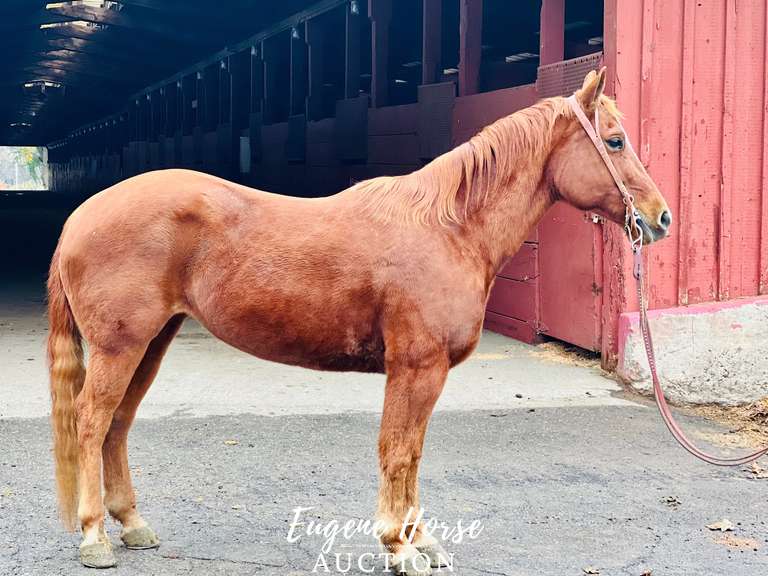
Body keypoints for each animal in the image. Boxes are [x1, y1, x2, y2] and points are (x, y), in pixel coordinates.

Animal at [47, 68, 671, 574]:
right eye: (614, 141)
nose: (660, 218)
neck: (448, 228)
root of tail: (81, 215)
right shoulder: (416, 368)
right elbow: (398, 451)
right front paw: (399, 547)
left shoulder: (423, 374)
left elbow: (411, 454)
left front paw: (421, 541)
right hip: (120, 346)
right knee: (91, 422)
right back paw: (95, 538)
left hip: (151, 342)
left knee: (117, 424)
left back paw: (132, 525)